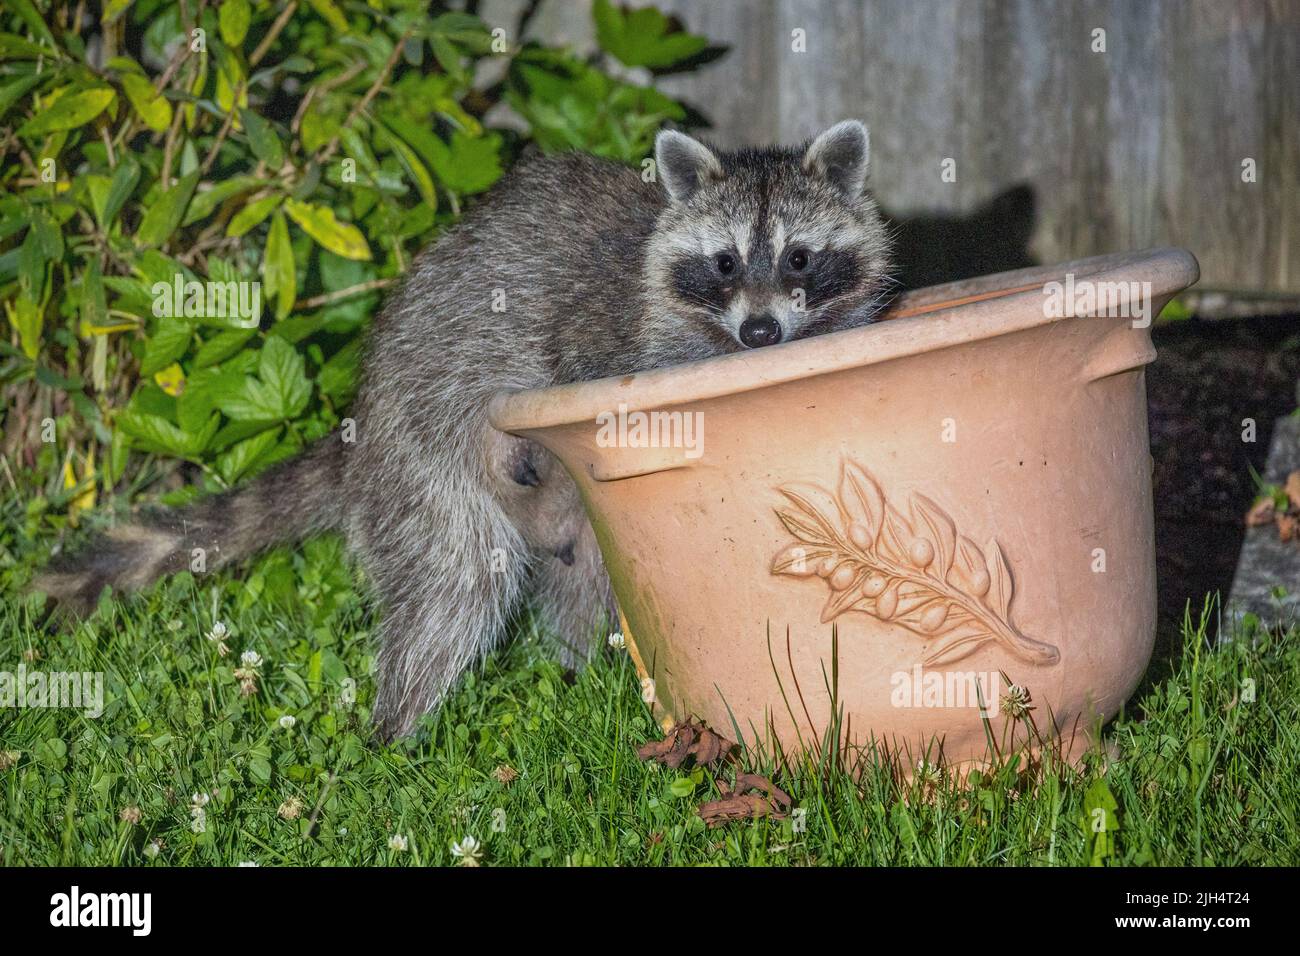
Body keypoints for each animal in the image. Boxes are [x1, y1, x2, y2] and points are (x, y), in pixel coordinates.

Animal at [35, 120, 895, 738]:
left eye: (799, 256)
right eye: (723, 263)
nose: (760, 333)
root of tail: (365, 421)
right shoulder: (603, 331)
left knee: (584, 580)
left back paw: (575, 676)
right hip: (423, 461)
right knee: (454, 589)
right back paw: (397, 731)